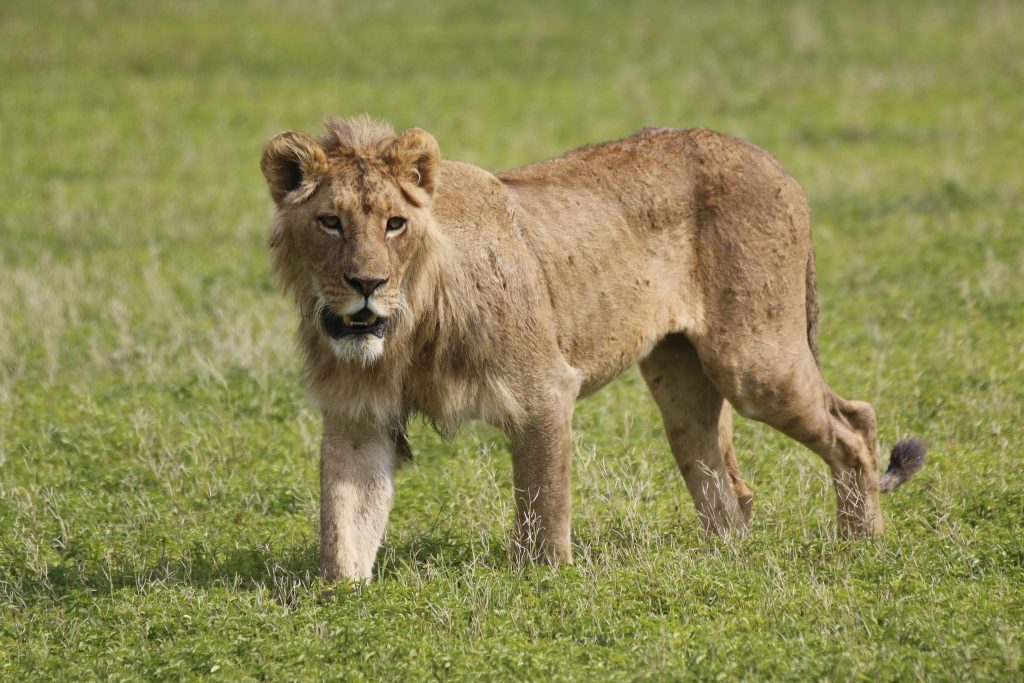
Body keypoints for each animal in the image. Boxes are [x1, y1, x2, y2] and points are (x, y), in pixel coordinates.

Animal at [260, 116, 926, 582]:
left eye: (394, 223)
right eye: (330, 222)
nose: (366, 285)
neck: (408, 325)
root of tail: (771, 160)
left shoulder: (543, 391)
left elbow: (541, 513)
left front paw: (542, 586)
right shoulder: (358, 417)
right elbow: (343, 523)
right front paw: (338, 599)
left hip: (754, 359)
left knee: (855, 424)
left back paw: (861, 546)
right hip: (682, 377)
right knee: (719, 474)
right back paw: (726, 558)